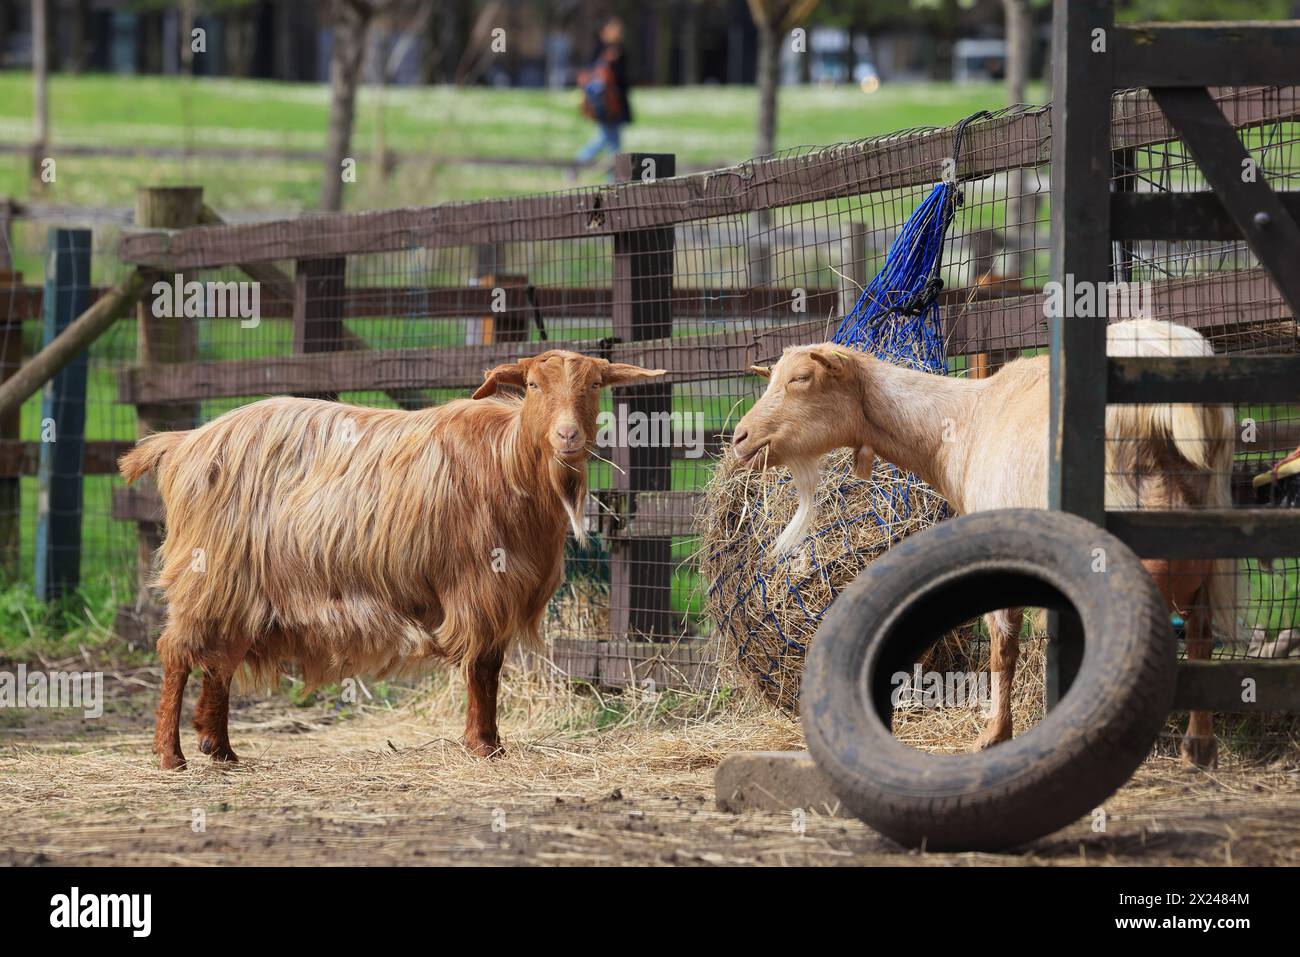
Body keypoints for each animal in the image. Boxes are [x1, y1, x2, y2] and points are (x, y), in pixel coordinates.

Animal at [119, 350, 664, 769]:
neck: (505, 461)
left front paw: (490, 744)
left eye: (594, 385)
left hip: (239, 585)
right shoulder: (476, 584)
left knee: (220, 657)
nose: (568, 437)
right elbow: (482, 667)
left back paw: (221, 750)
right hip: (207, 569)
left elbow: (490, 665)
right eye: (532, 385)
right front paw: (482, 746)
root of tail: (184, 443)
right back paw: (171, 756)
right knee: (177, 652)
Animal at [732, 318, 1235, 767]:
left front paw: (995, 735)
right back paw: (1199, 746)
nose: (739, 438)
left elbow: (1001, 650)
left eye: (801, 378)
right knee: (1201, 625)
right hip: (1203, 513)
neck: (960, 428)